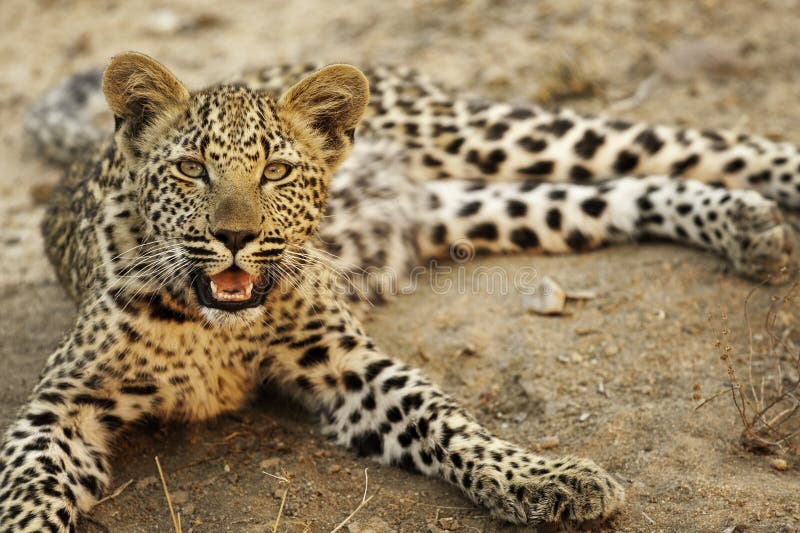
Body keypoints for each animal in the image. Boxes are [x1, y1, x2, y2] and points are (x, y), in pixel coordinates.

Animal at [2, 51, 797, 531]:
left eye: (276, 172)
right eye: (191, 169)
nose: (234, 236)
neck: (215, 327)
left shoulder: (346, 360)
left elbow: (446, 420)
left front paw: (547, 477)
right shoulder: (60, 403)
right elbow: (28, 489)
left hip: (495, 135)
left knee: (695, 144)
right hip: (477, 207)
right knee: (623, 190)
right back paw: (749, 226)